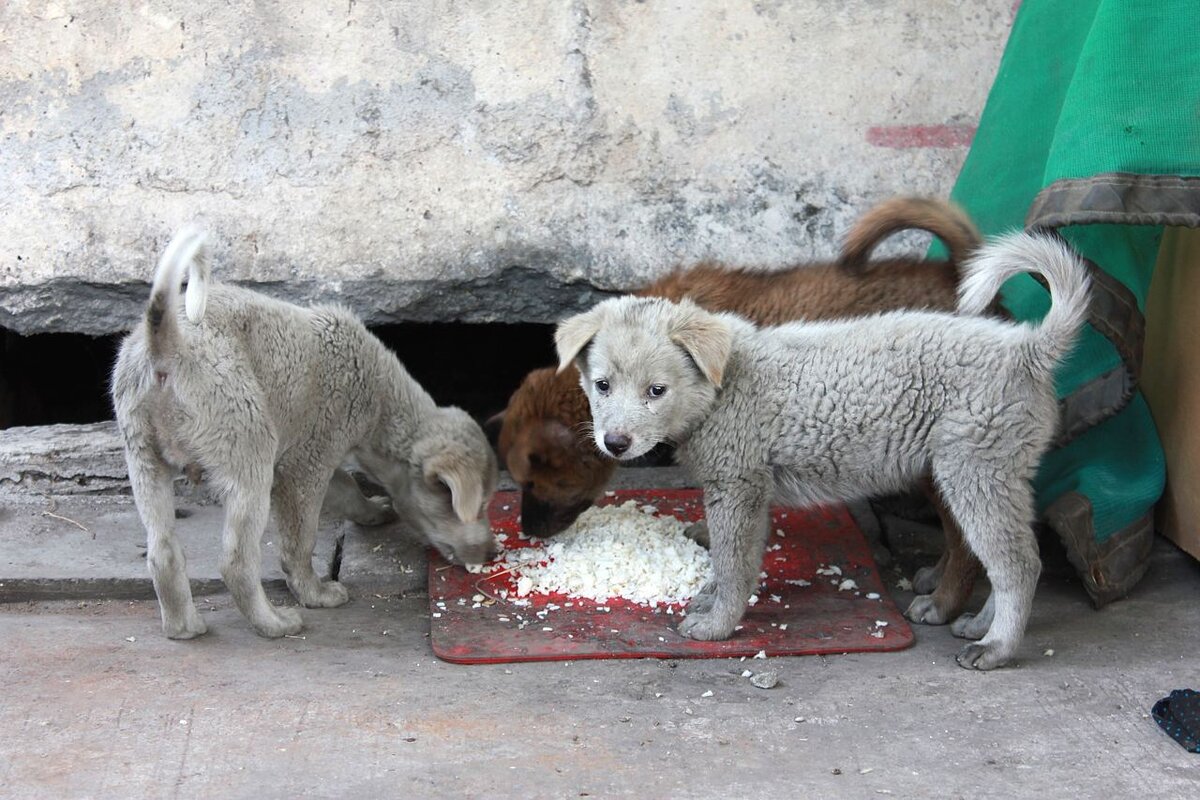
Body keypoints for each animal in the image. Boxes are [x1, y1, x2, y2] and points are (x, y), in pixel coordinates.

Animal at [114, 227, 499, 642]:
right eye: (476, 505)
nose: (494, 554)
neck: (380, 398)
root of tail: (166, 347)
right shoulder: (306, 465)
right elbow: (301, 541)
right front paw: (315, 593)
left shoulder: (312, 454)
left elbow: (348, 491)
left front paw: (374, 511)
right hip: (248, 448)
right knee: (237, 561)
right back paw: (274, 623)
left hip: (143, 457)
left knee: (163, 552)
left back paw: (184, 627)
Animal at [556, 231, 1094, 671]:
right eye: (602, 385)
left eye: (656, 391)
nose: (615, 443)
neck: (724, 385)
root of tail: (1027, 349)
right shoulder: (750, 490)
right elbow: (736, 562)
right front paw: (709, 599)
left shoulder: (738, 487)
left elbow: (733, 564)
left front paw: (717, 625)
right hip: (1001, 474)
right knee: (1013, 556)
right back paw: (980, 623)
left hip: (975, 471)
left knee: (1016, 564)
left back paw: (995, 646)